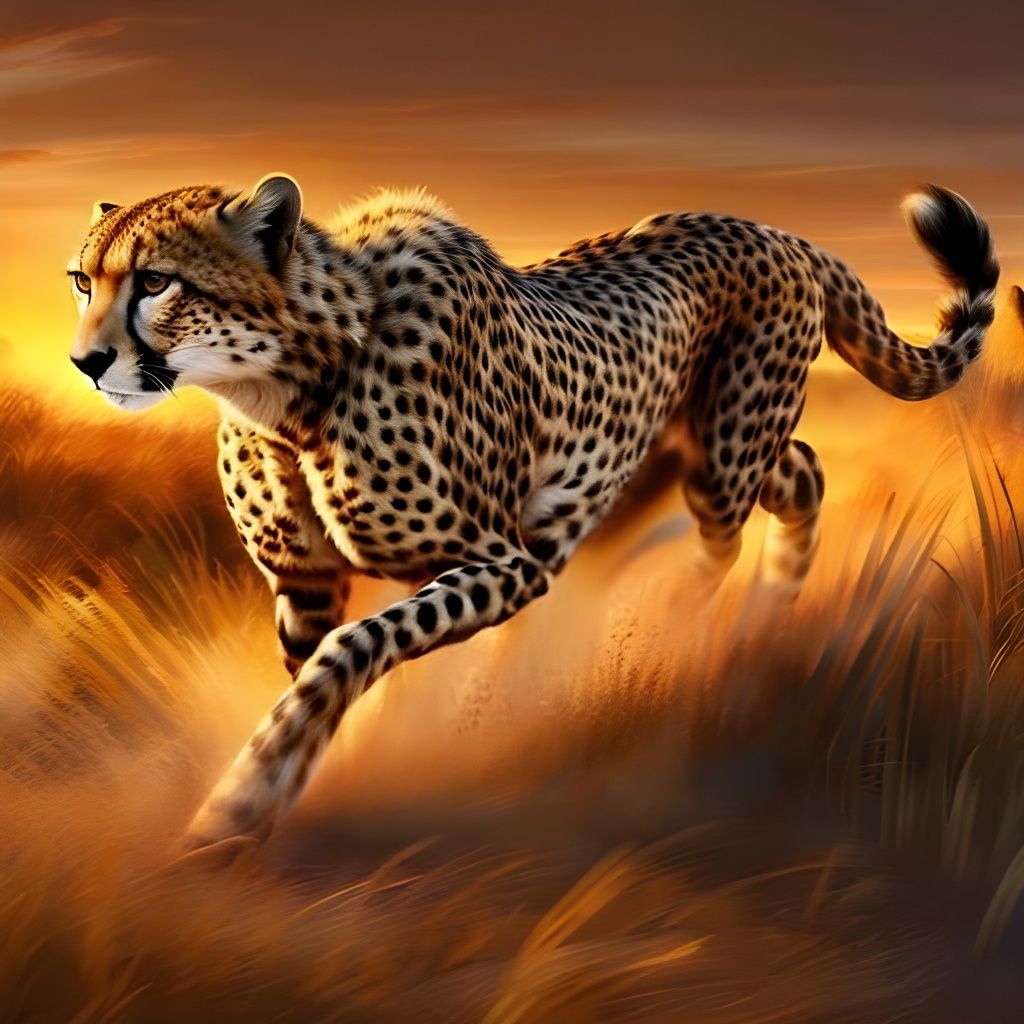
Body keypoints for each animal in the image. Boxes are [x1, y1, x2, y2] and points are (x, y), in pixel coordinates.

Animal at [67, 174, 998, 849]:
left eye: (156, 282)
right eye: (83, 279)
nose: (84, 362)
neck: (291, 391)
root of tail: (771, 230)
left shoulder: (502, 562)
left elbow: (353, 651)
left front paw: (244, 798)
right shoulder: (307, 586)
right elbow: (321, 672)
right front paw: (339, 763)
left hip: (723, 451)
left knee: (740, 523)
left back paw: (690, 627)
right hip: (668, 462)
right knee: (800, 470)